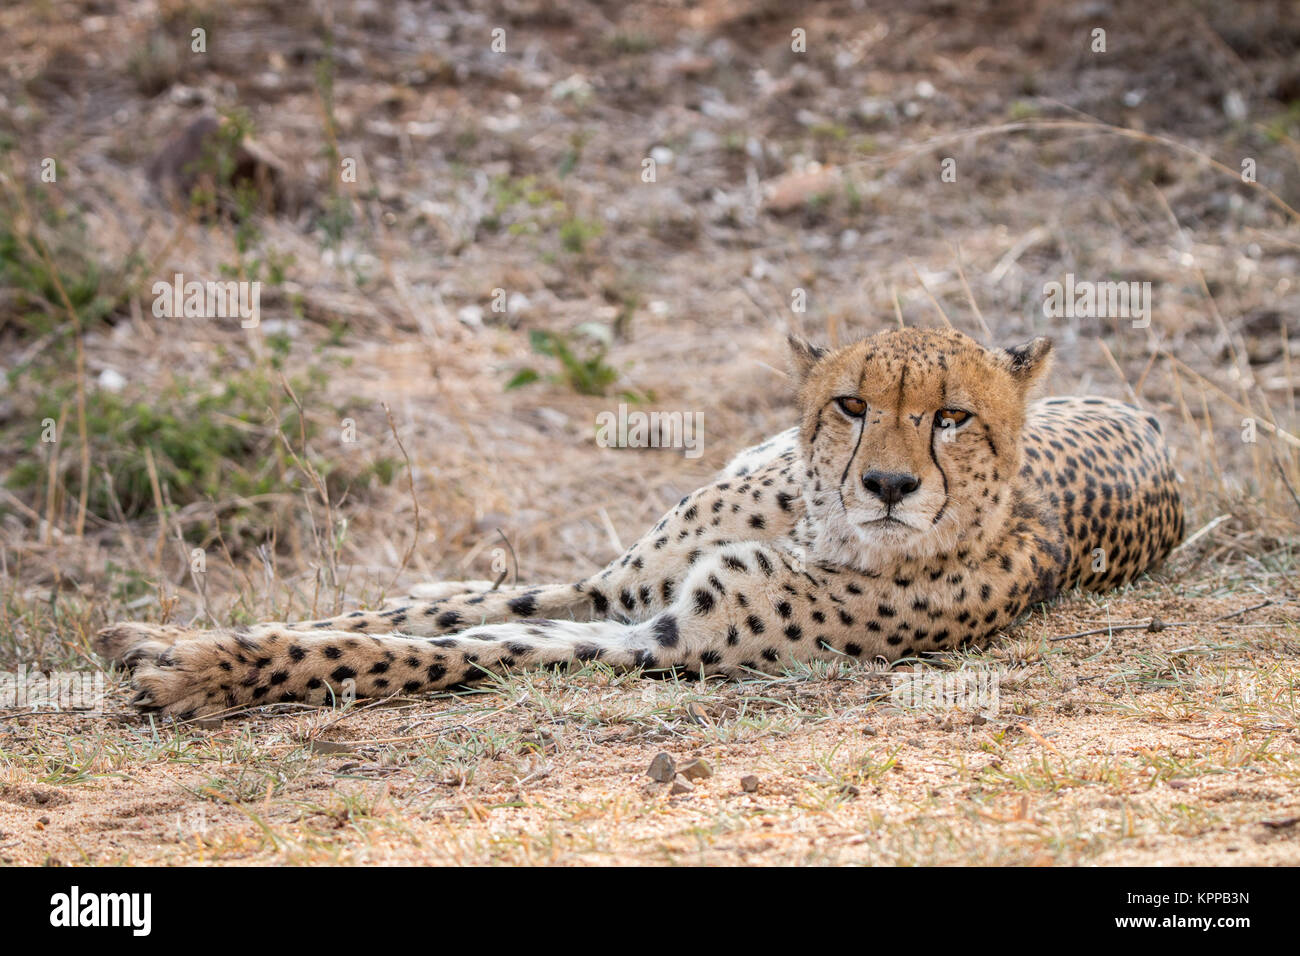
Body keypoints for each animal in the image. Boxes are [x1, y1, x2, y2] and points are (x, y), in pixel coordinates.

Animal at [95, 327, 1185, 718]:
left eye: (952, 417)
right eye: (852, 404)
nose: (886, 484)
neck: (814, 531)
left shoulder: (656, 636)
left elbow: (436, 650)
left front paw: (199, 668)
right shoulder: (624, 591)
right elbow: (411, 625)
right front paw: (176, 642)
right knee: (462, 592)